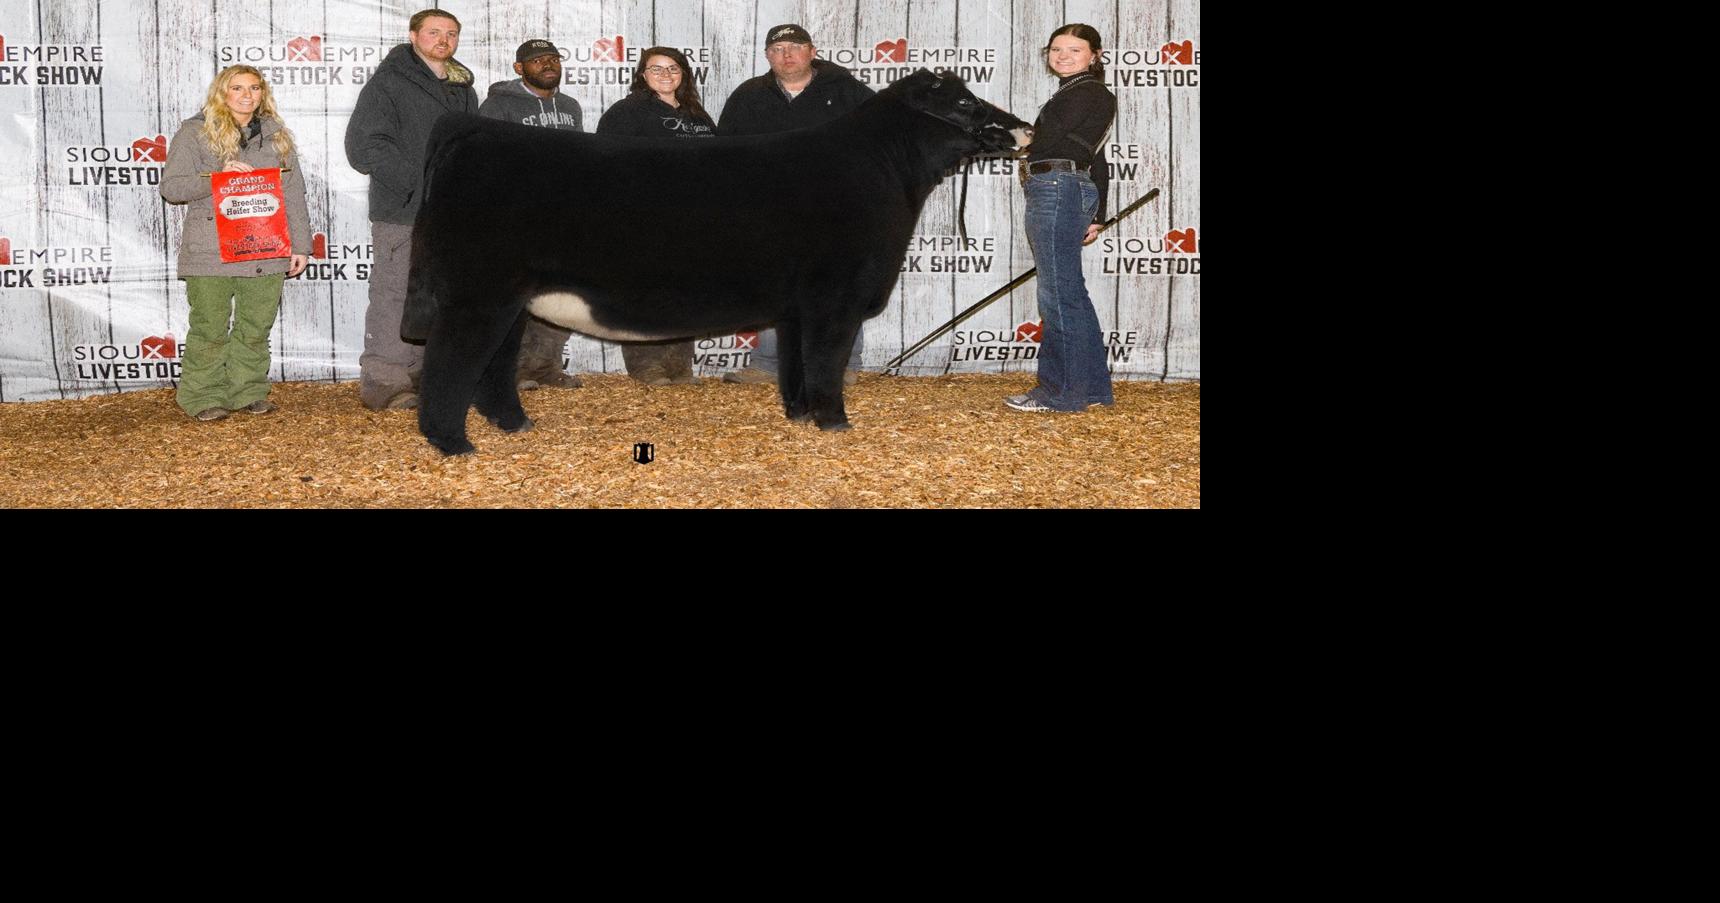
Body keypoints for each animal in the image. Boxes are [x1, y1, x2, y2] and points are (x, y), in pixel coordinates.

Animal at [402, 68, 1031, 456]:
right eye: (963, 101)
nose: (1023, 127)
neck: (883, 170)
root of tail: (474, 128)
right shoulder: (835, 300)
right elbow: (826, 364)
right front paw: (834, 423)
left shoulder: (798, 306)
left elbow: (796, 366)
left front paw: (799, 415)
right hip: (477, 295)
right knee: (449, 364)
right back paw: (453, 443)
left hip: (507, 298)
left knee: (492, 368)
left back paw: (513, 424)